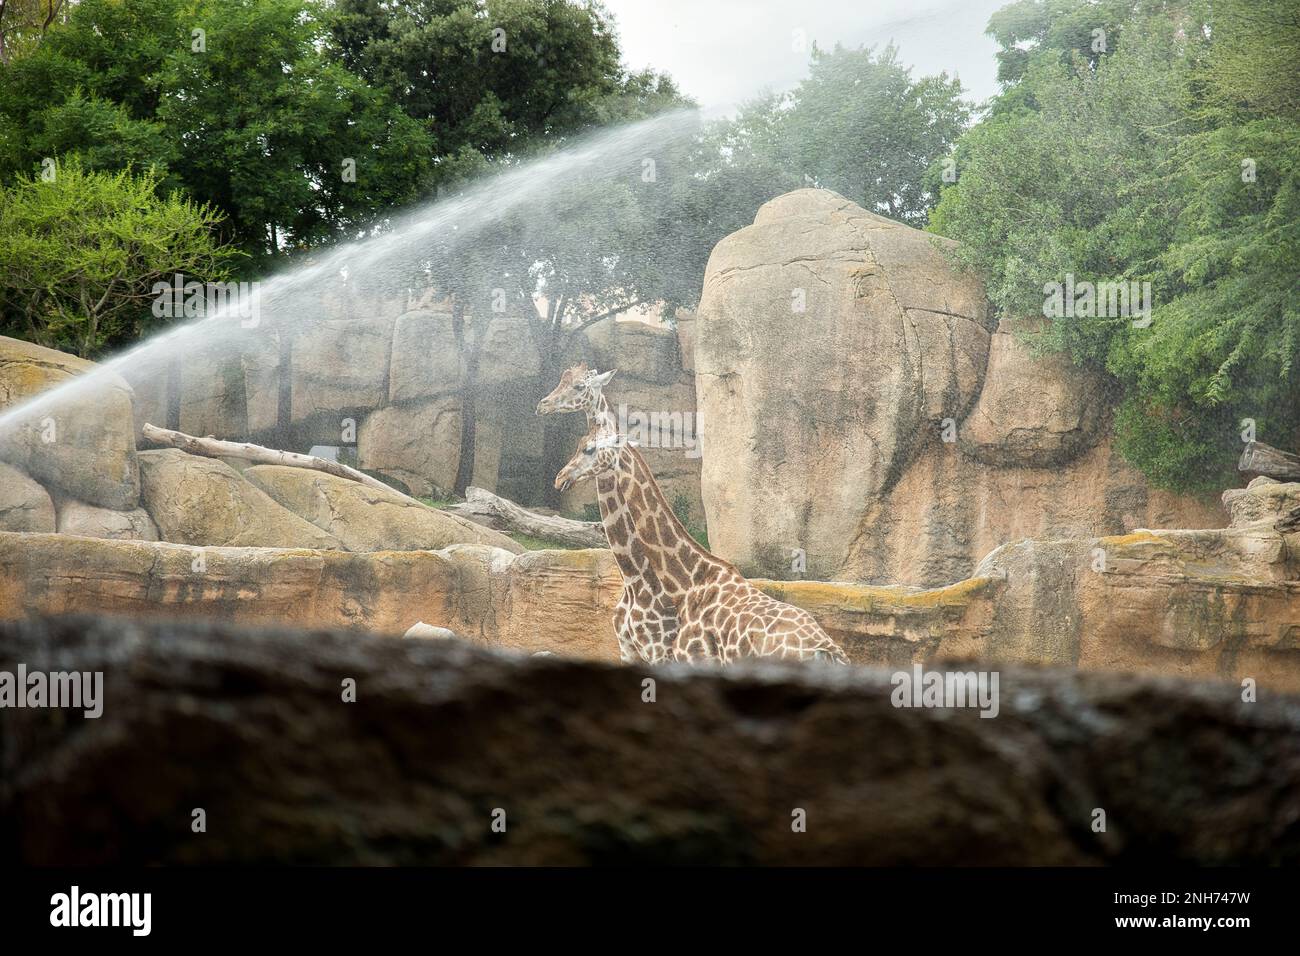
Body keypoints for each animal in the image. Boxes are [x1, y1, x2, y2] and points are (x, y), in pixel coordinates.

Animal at [555, 431, 849, 665]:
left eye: (589, 449)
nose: (560, 478)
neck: (684, 581)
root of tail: (829, 652)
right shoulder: (630, 652)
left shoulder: (674, 657)